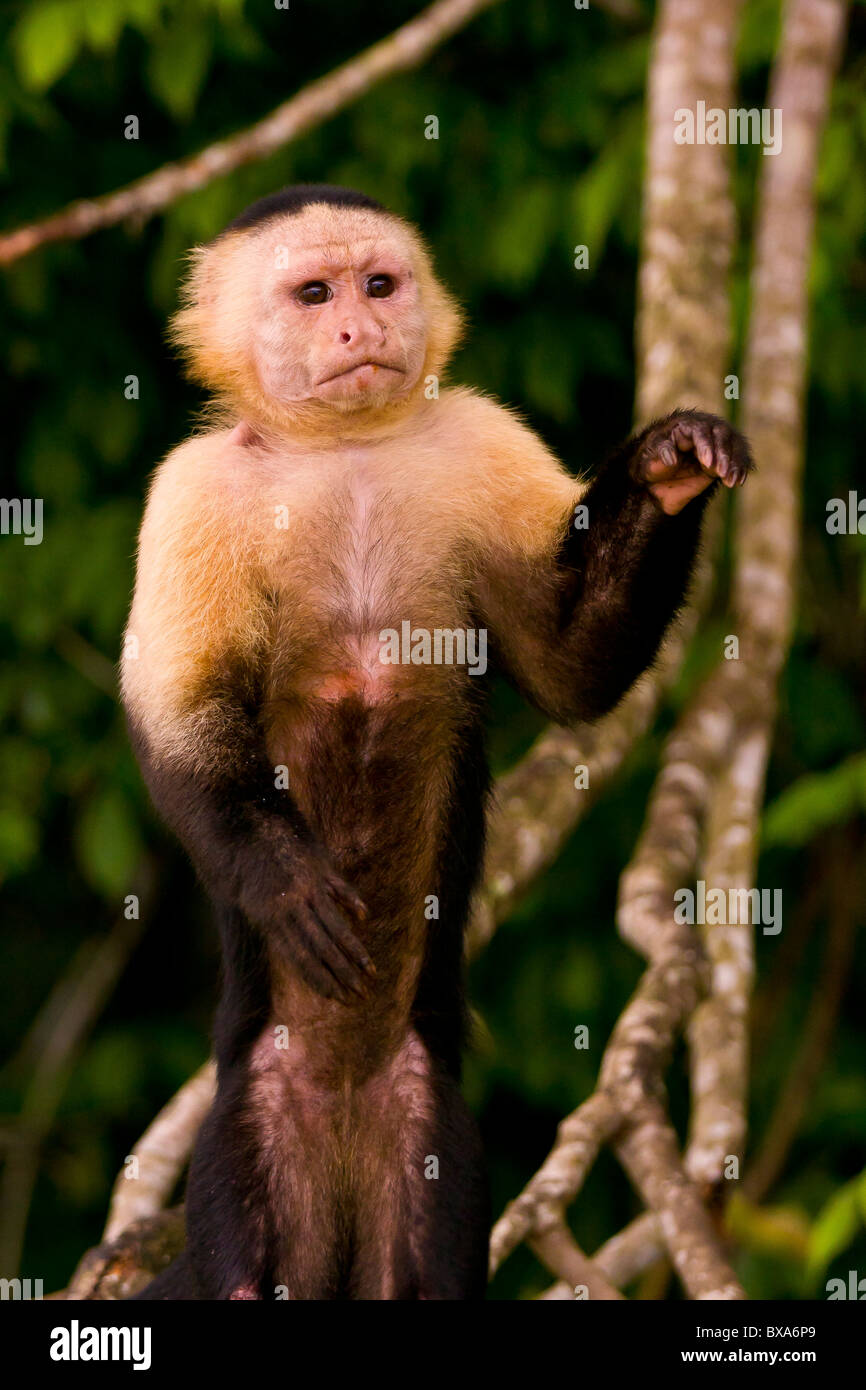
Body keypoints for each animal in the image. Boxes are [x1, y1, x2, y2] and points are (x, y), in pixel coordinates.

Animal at [121, 183, 752, 1301]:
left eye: (379, 283)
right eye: (314, 292)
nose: (357, 329)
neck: (342, 448)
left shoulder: (475, 433)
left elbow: (565, 665)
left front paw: (666, 467)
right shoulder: (187, 488)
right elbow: (176, 708)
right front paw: (281, 876)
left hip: (429, 1128)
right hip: (247, 1128)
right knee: (240, 1262)